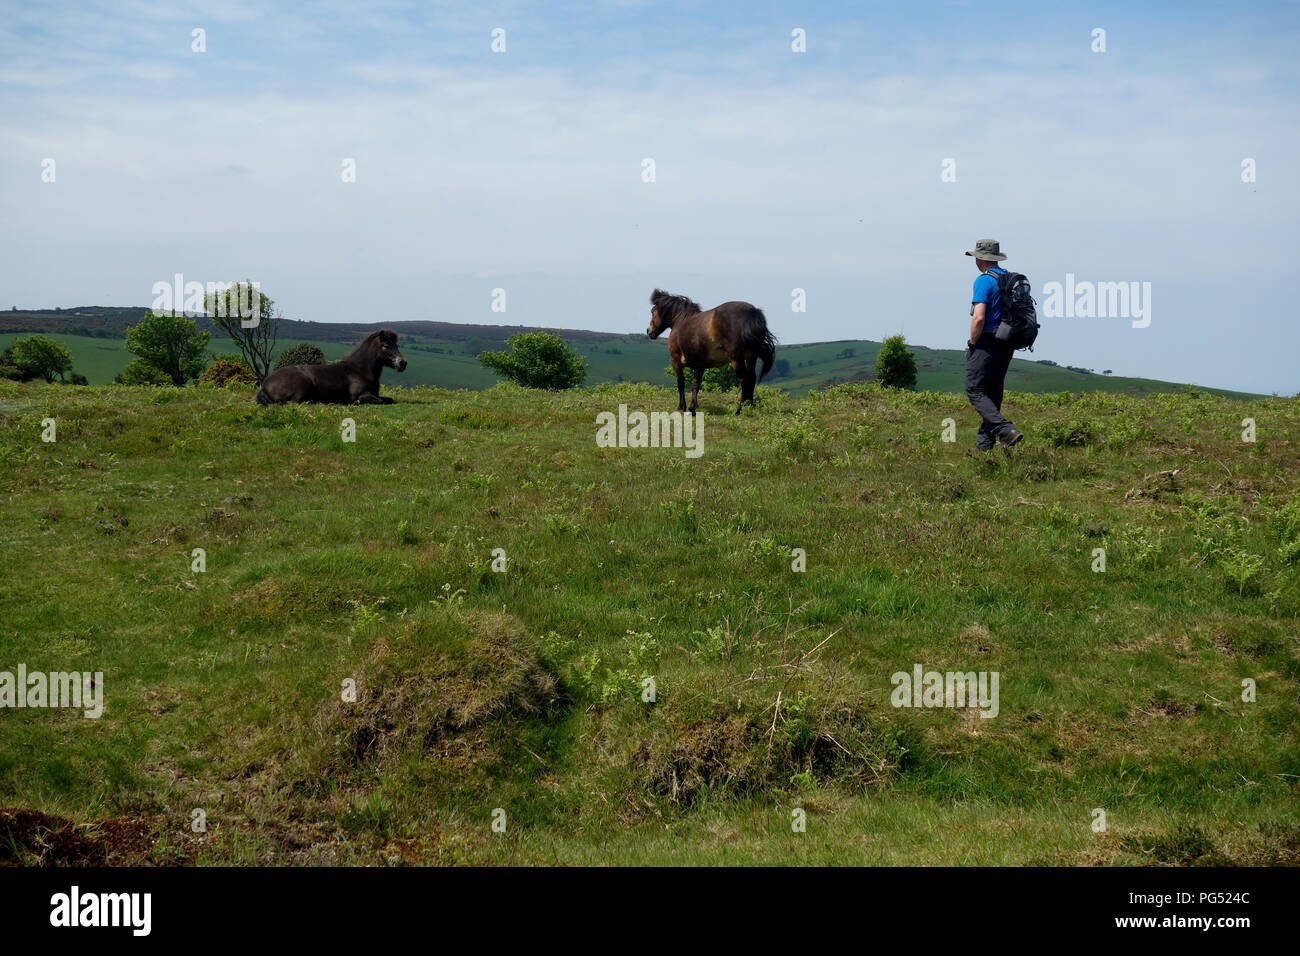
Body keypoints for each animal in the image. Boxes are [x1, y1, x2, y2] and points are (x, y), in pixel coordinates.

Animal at [256, 329, 407, 405]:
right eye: (386, 346)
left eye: (396, 345)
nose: (402, 363)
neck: (359, 370)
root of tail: (265, 385)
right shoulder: (362, 394)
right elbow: (380, 401)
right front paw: (356, 402)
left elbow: (389, 399)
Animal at [646, 289, 776, 415]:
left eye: (652, 311)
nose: (649, 331)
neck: (681, 321)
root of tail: (751, 310)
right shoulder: (700, 364)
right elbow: (696, 384)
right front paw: (692, 407)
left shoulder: (676, 360)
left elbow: (681, 383)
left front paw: (682, 406)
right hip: (751, 357)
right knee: (752, 378)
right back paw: (750, 406)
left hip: (736, 358)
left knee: (744, 379)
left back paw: (739, 410)